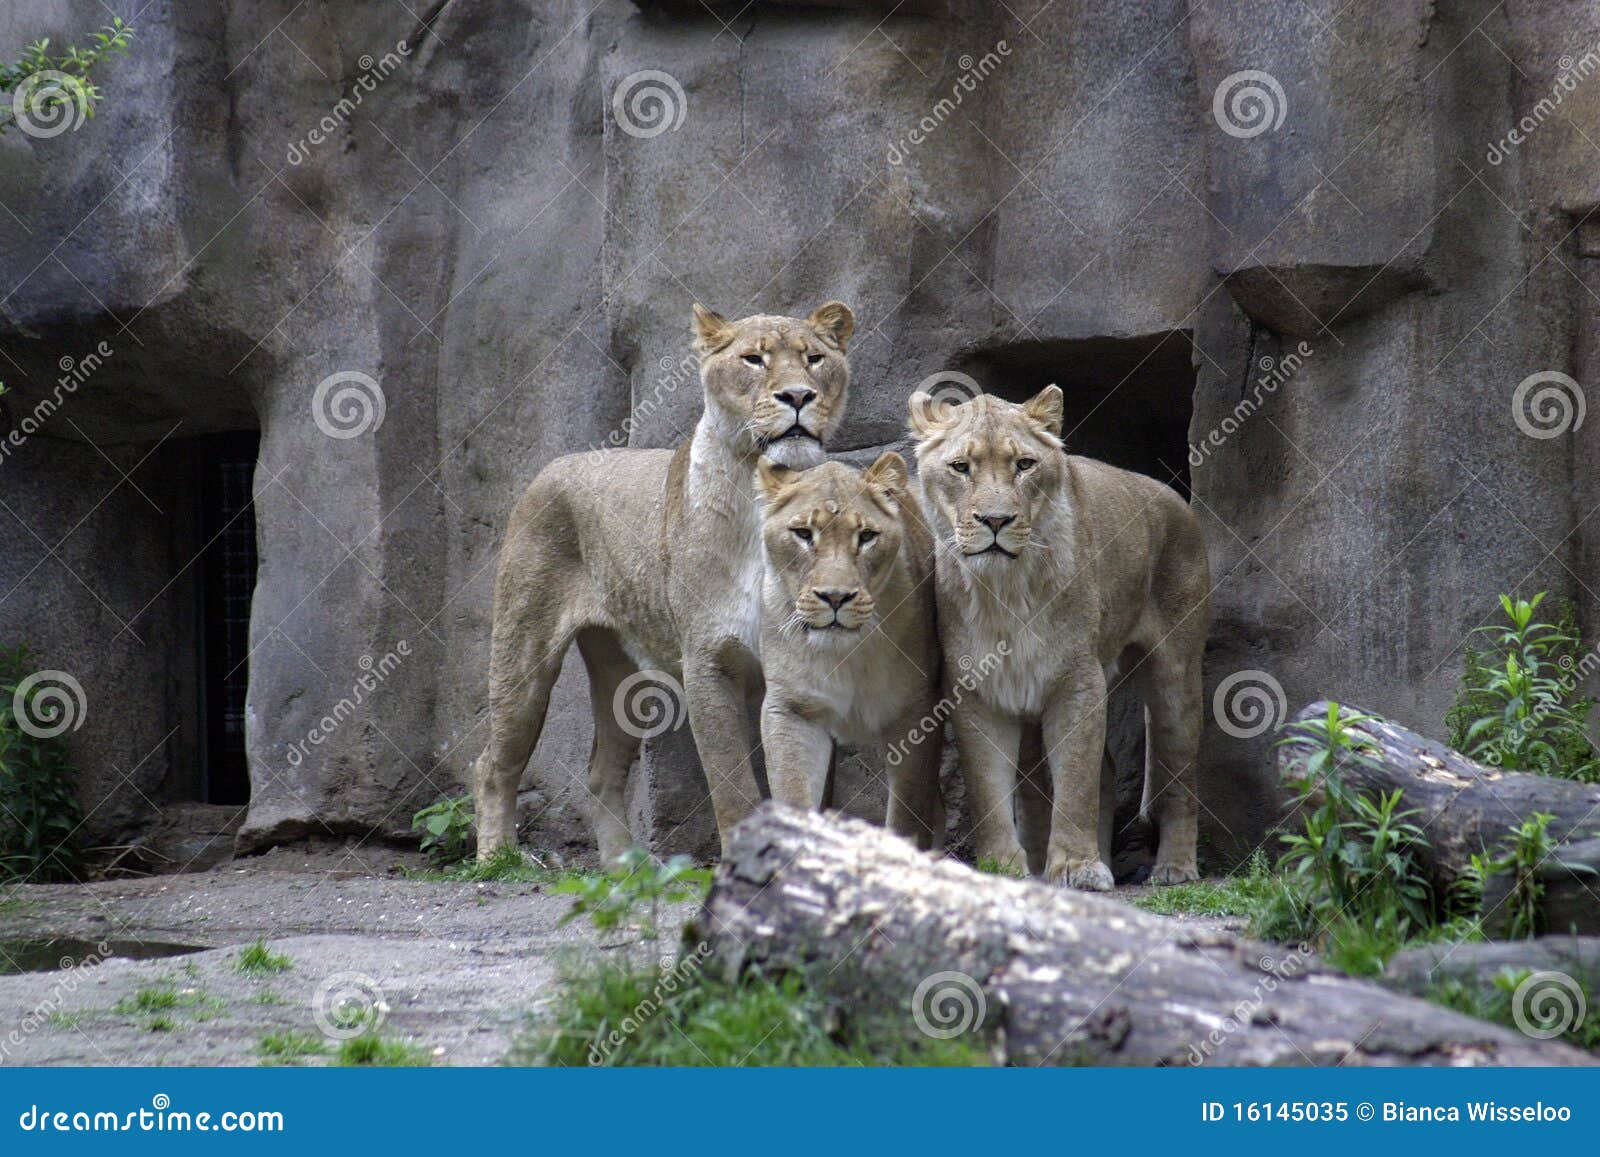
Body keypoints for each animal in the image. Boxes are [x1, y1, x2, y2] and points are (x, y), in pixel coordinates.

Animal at [472, 302, 856, 862]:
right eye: (754, 359)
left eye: (814, 360)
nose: (799, 396)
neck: (760, 486)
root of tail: (557, 463)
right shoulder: (707, 662)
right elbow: (732, 786)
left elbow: (800, 790)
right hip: (524, 653)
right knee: (494, 763)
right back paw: (496, 857)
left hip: (618, 671)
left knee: (601, 772)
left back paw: (622, 868)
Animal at [754, 453, 944, 849]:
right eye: (803, 534)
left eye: (867, 536)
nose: (835, 597)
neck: (843, 656)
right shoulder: (792, 708)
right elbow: (792, 793)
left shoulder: (918, 711)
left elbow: (907, 815)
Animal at [908, 385, 1211, 890]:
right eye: (961, 467)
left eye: (1024, 464)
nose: (996, 521)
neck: (1005, 592)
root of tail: (1177, 497)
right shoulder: (977, 692)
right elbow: (988, 788)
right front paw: (1003, 867)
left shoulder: (1078, 681)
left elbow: (1076, 781)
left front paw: (1077, 867)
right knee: (1091, 774)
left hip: (1177, 675)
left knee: (1180, 775)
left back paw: (1175, 868)